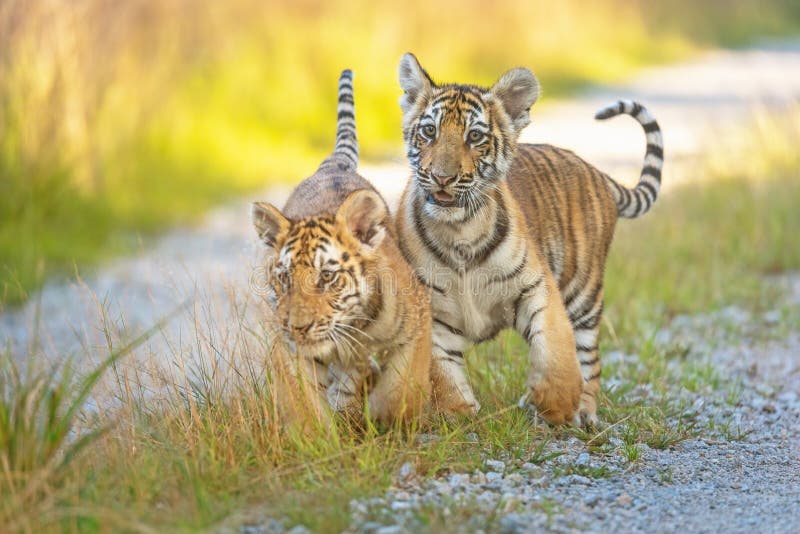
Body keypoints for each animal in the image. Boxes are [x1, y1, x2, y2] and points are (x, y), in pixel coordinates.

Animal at [251, 69, 434, 426]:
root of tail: (333, 166)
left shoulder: (418, 321)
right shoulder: (289, 348)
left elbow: (401, 389)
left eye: (327, 277)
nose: (298, 327)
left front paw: (386, 414)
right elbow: (303, 404)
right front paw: (316, 432)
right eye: (284, 278)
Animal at [394, 53, 664, 426]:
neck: (459, 231)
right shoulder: (432, 312)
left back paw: (584, 412)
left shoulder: (536, 287)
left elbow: (556, 354)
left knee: (590, 360)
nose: (441, 177)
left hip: (583, 294)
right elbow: (444, 373)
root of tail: (598, 172)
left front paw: (553, 404)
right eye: (429, 131)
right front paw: (460, 416)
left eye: (474, 136)